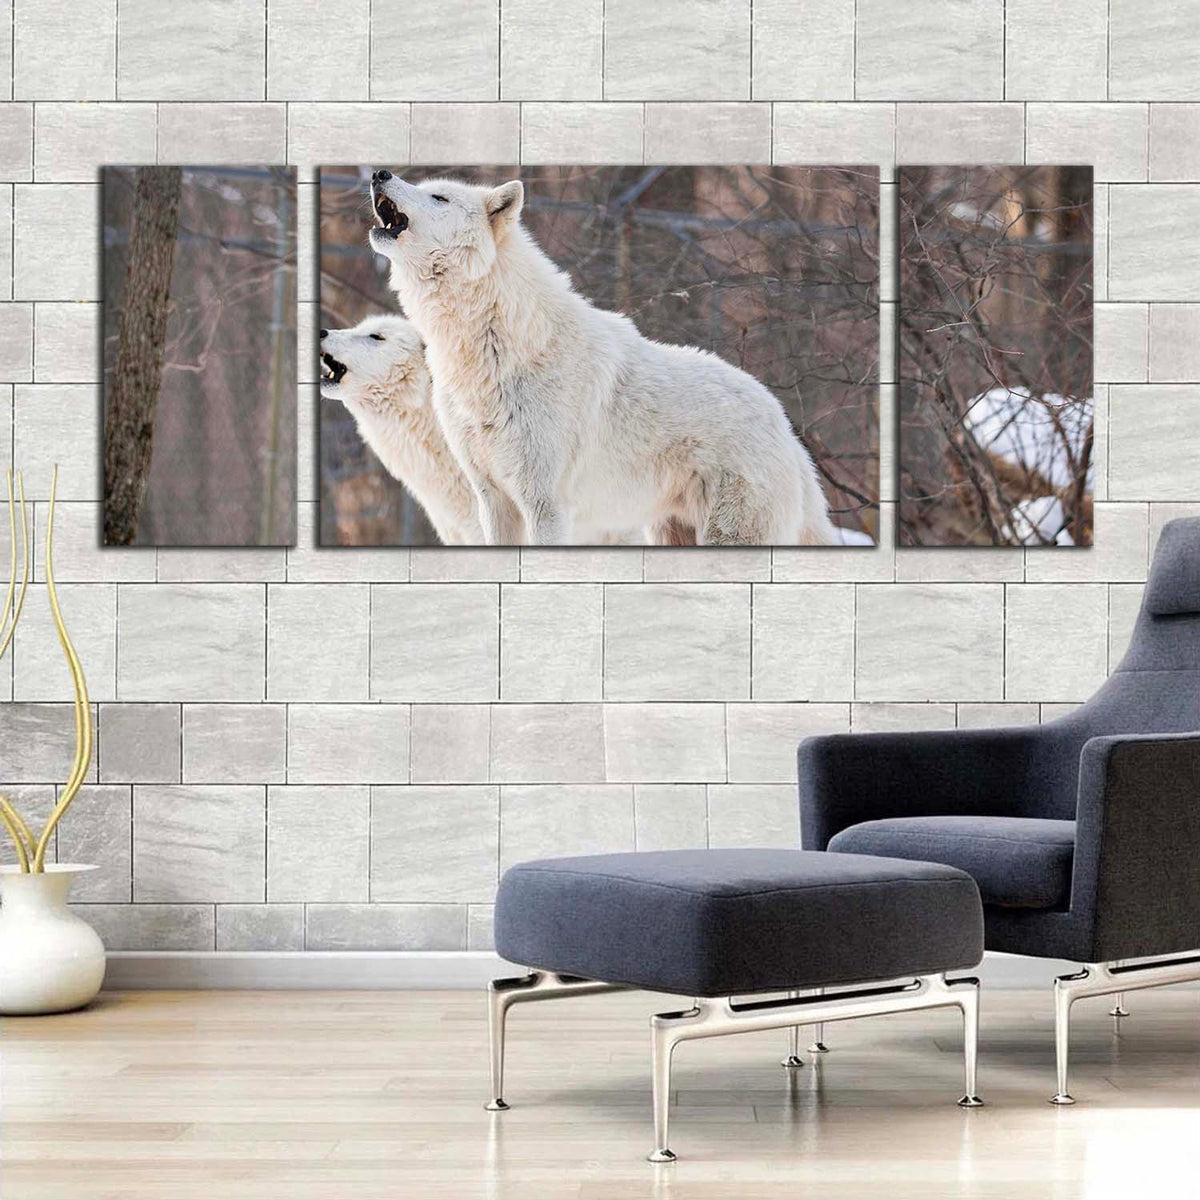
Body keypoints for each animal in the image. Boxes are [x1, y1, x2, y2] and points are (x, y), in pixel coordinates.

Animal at [366, 169, 837, 547]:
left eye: (439, 198)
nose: (379, 173)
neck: (496, 346)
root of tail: (784, 426)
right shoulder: (492, 498)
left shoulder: (545, 502)